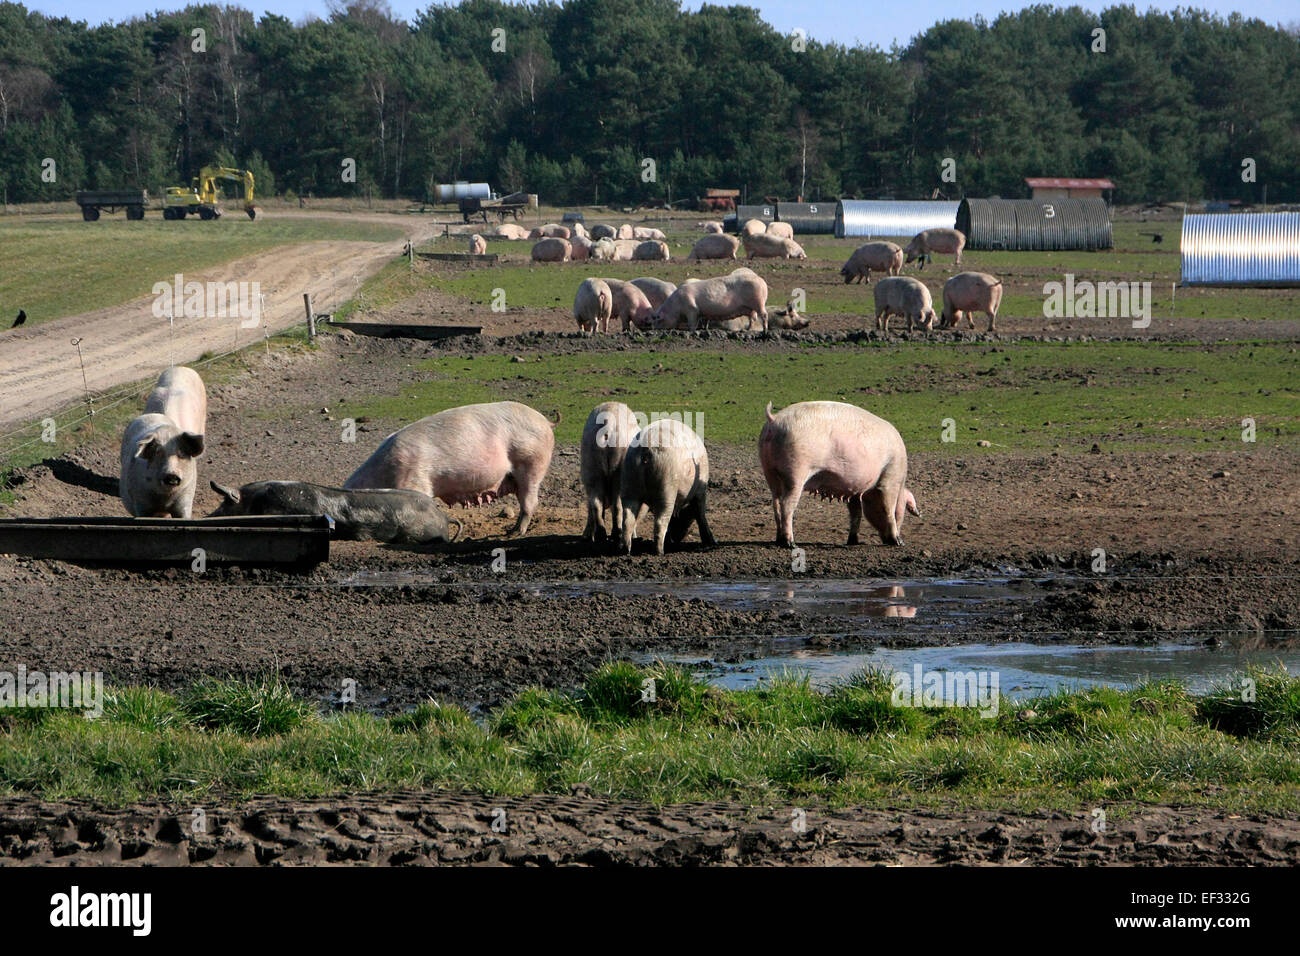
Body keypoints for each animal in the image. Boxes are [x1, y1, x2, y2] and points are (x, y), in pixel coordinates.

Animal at [119, 366, 207, 519]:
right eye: (157, 453)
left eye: (181, 454)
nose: (172, 474)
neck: (164, 499)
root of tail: (180, 367)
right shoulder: (140, 502)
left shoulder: (185, 496)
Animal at [344, 401, 556, 537]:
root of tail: (546, 421)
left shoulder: (415, 482)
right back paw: (511, 530)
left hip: (532, 462)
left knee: (530, 502)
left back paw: (515, 533)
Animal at [580, 402, 638, 542]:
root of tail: (608, 422)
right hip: (618, 471)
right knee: (617, 505)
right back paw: (616, 533)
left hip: (591, 467)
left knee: (596, 503)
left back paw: (600, 534)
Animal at [619, 418, 715, 556]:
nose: (676, 539)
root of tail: (646, 451)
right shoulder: (701, 491)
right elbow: (700, 515)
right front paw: (711, 542)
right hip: (666, 487)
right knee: (660, 522)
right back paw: (660, 552)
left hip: (629, 484)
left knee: (627, 519)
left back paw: (626, 551)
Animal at [759, 400, 920, 547]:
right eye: (903, 509)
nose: (886, 540)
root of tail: (774, 420)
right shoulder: (890, 477)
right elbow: (889, 510)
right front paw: (899, 542)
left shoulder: (854, 489)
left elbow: (856, 513)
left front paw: (853, 542)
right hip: (795, 472)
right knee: (787, 504)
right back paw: (790, 543)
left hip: (769, 472)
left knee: (776, 503)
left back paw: (778, 540)